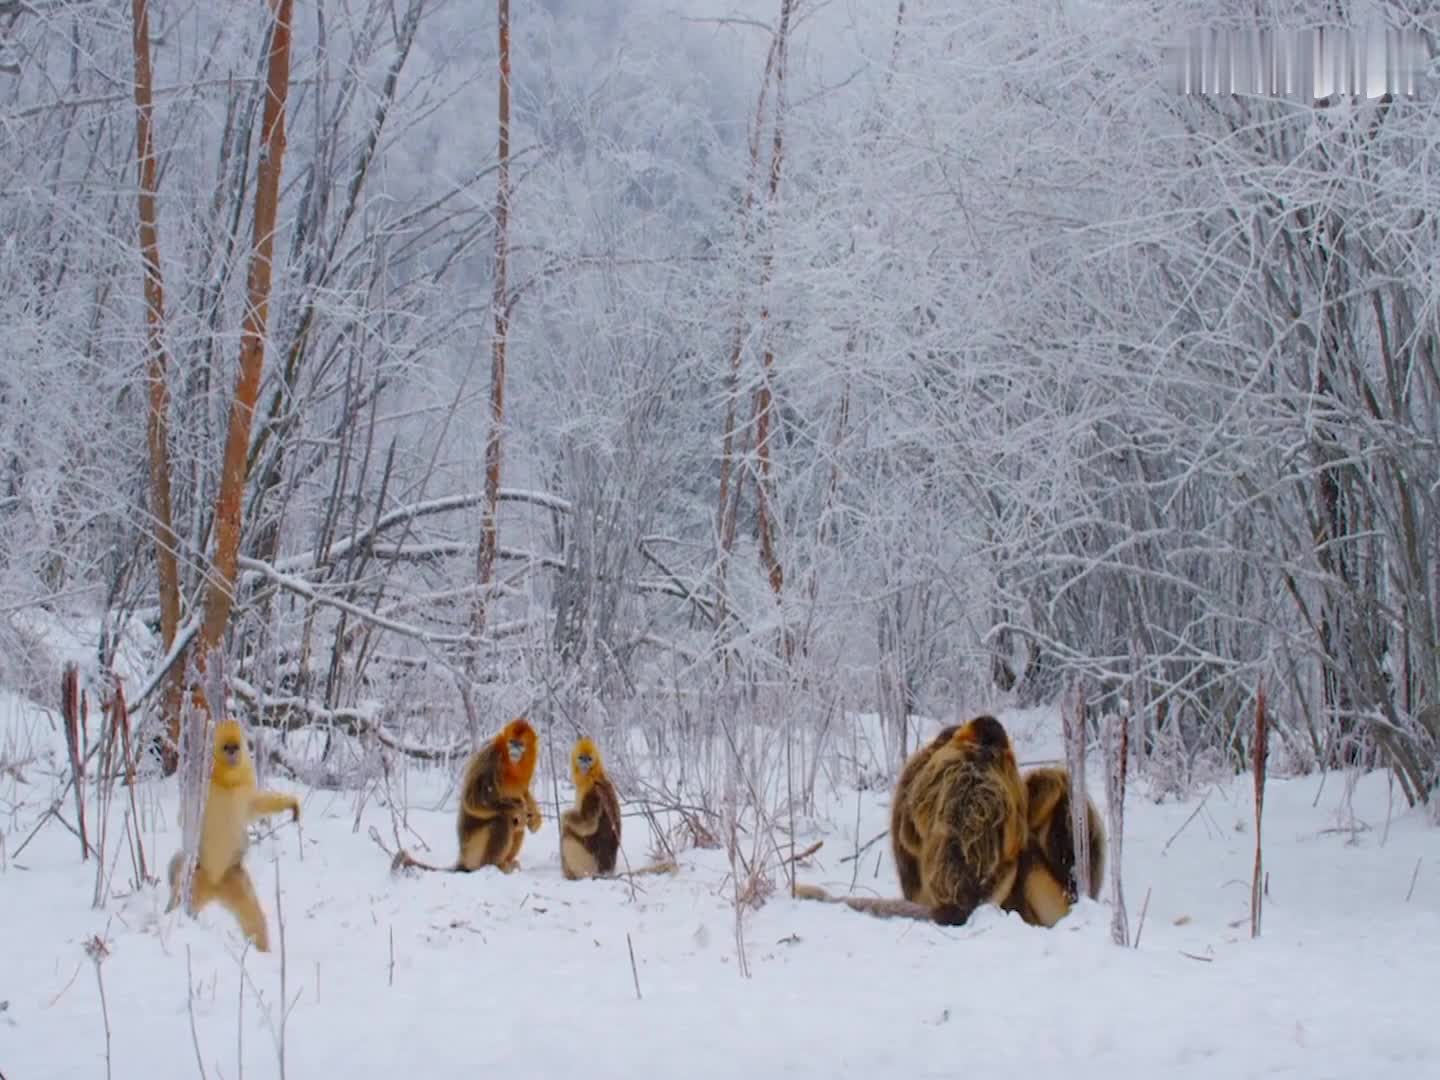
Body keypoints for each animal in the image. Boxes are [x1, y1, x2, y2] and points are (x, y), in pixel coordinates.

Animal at [164, 719, 300, 953]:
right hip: (196, 879)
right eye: (226, 748)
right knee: (178, 899)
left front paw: (291, 803)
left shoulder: (247, 780)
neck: (227, 779)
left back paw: (262, 951)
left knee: (254, 919)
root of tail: (214, 884)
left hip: (234, 877)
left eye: (235, 747)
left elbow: (254, 805)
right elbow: (185, 816)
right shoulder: (198, 780)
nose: (233, 755)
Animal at [391, 716, 542, 875]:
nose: (514, 749)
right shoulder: (490, 758)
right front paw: (518, 807)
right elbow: (473, 800)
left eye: (520, 745)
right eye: (511, 742)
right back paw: (495, 865)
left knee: (518, 826)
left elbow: (524, 792)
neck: (510, 762)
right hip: (474, 851)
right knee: (503, 820)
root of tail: (463, 858)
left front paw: (534, 816)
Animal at [559, 737, 622, 880]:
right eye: (581, 758)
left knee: (567, 834)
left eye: (589, 759)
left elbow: (588, 824)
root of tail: (606, 871)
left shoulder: (593, 793)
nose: (584, 764)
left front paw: (563, 816)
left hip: (587, 865)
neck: (591, 775)